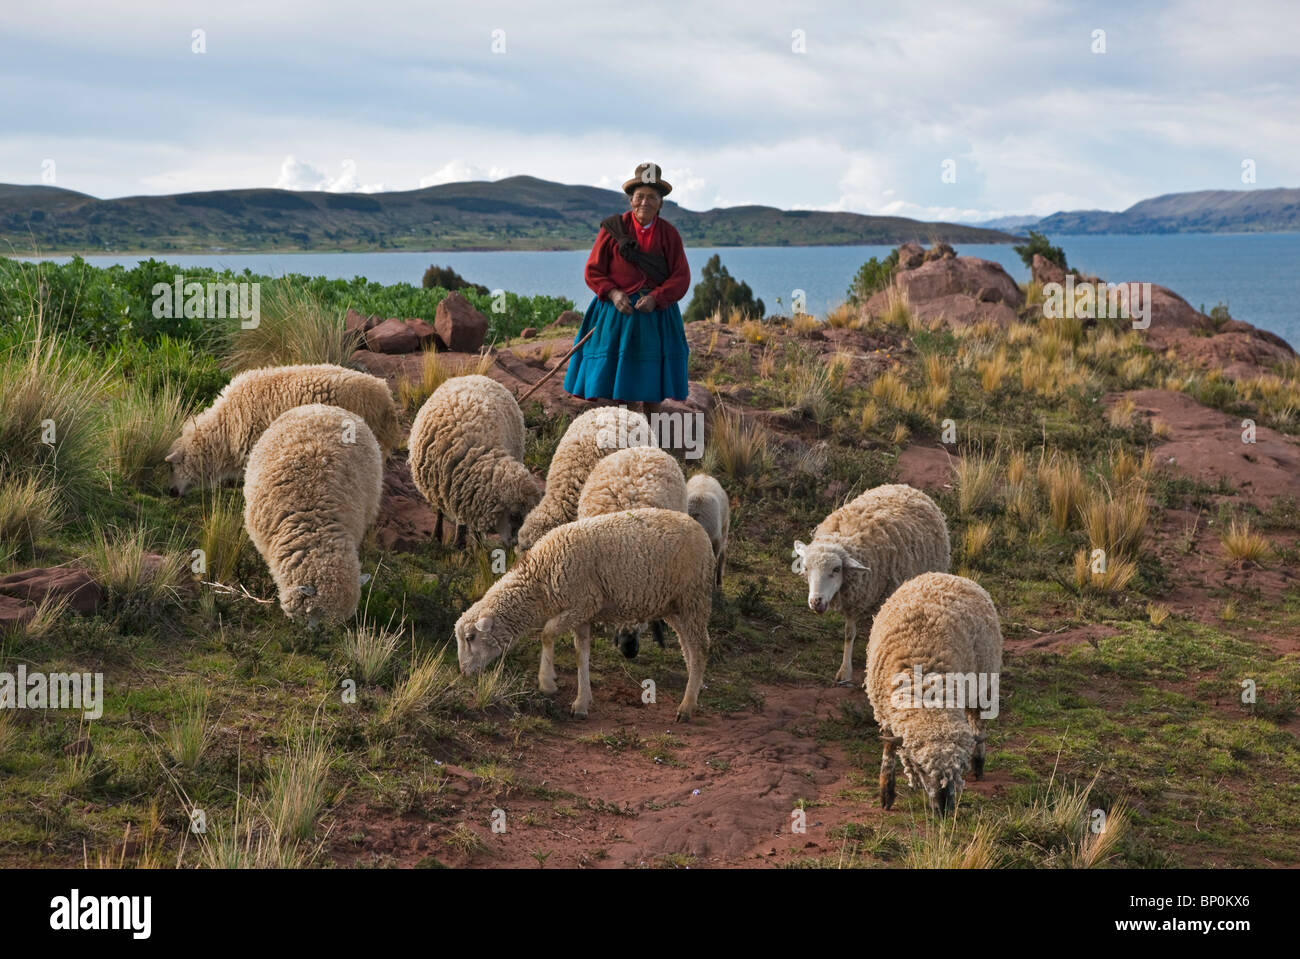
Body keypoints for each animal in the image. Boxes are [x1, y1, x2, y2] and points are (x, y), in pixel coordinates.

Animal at [407, 374, 542, 547]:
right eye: (515, 515)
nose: (515, 546)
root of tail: (476, 376)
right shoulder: (440, 483)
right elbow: (440, 511)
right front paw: (439, 537)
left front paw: (471, 545)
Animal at [454, 508, 713, 721]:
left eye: (470, 638)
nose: (463, 672)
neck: (540, 578)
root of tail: (701, 530)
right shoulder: (582, 614)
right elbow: (582, 655)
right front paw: (581, 702)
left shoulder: (584, 603)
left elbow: (547, 634)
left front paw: (547, 682)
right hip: (674, 606)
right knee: (689, 647)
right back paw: (694, 692)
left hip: (693, 599)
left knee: (700, 648)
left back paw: (686, 707)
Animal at [793, 483, 950, 685]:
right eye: (806, 568)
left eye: (836, 569)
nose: (816, 602)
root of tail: (906, 487)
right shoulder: (854, 600)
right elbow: (849, 633)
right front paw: (845, 671)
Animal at [864, 572, 1002, 816]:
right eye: (920, 766)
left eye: (960, 766)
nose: (944, 810)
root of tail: (946, 575)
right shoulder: (884, 712)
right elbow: (889, 748)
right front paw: (887, 791)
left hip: (983, 684)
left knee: (978, 722)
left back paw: (979, 762)